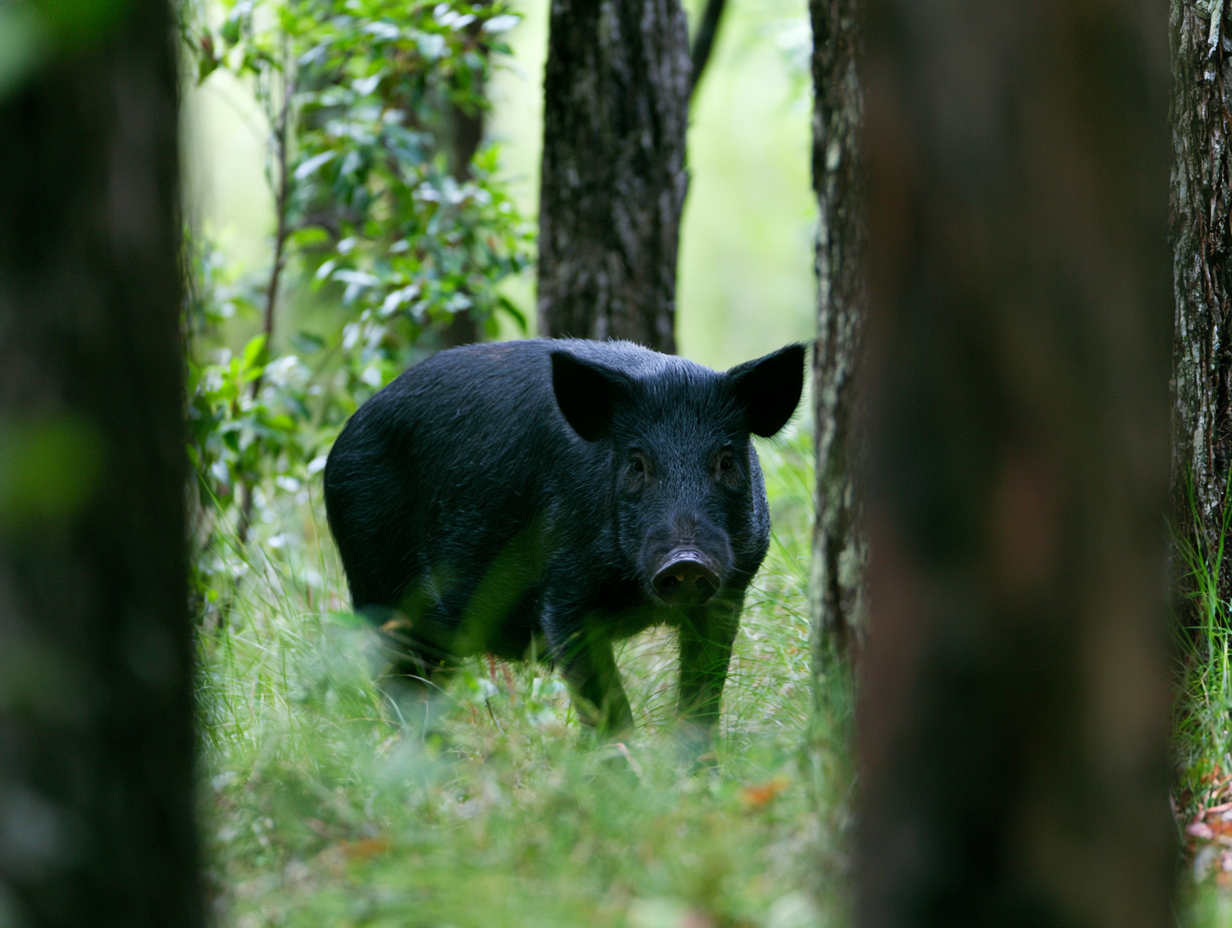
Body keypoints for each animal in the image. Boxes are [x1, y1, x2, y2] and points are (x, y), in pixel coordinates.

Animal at [323, 338, 804, 743]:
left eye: (725, 461)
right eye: (637, 464)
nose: (687, 560)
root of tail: (342, 436)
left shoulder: (731, 590)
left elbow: (702, 699)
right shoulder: (564, 595)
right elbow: (607, 707)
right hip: (379, 591)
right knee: (400, 688)